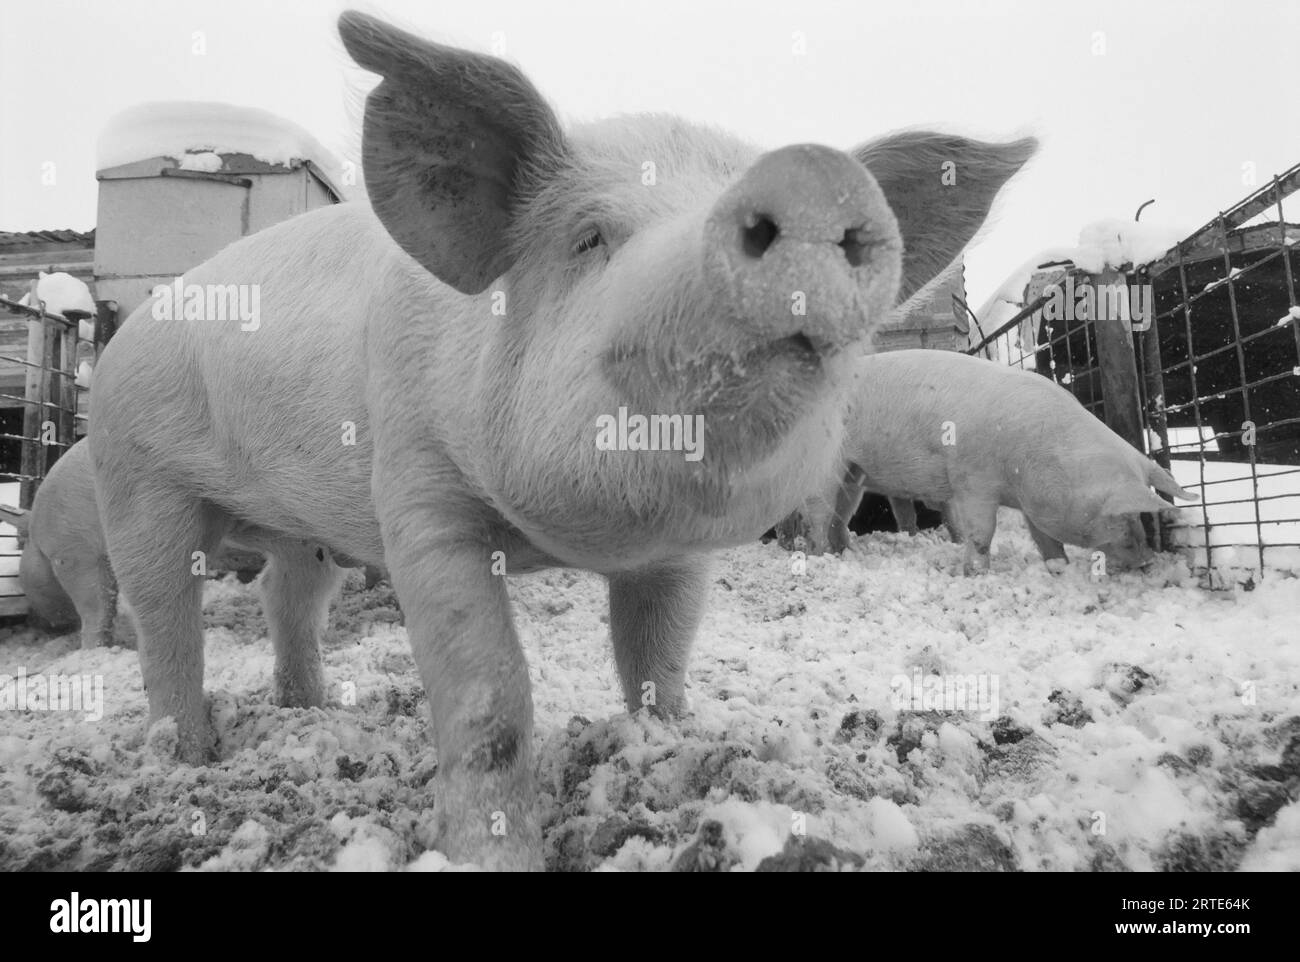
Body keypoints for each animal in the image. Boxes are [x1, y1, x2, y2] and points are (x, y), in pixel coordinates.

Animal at [88, 10, 1035, 869]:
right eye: (588, 237)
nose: (810, 173)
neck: (579, 539)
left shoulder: (678, 551)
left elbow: (658, 657)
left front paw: (664, 747)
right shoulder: (417, 490)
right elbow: (490, 696)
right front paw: (492, 854)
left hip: (297, 529)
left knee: (288, 594)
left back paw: (308, 710)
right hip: (135, 479)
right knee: (165, 617)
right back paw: (190, 757)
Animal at [794, 349, 1197, 571]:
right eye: (1120, 515)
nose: (1146, 558)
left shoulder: (1032, 501)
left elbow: (1046, 539)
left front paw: (1059, 568)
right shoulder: (972, 481)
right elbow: (981, 532)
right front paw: (975, 572)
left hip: (855, 473)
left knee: (841, 512)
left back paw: (844, 552)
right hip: (825, 466)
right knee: (818, 512)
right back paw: (819, 556)